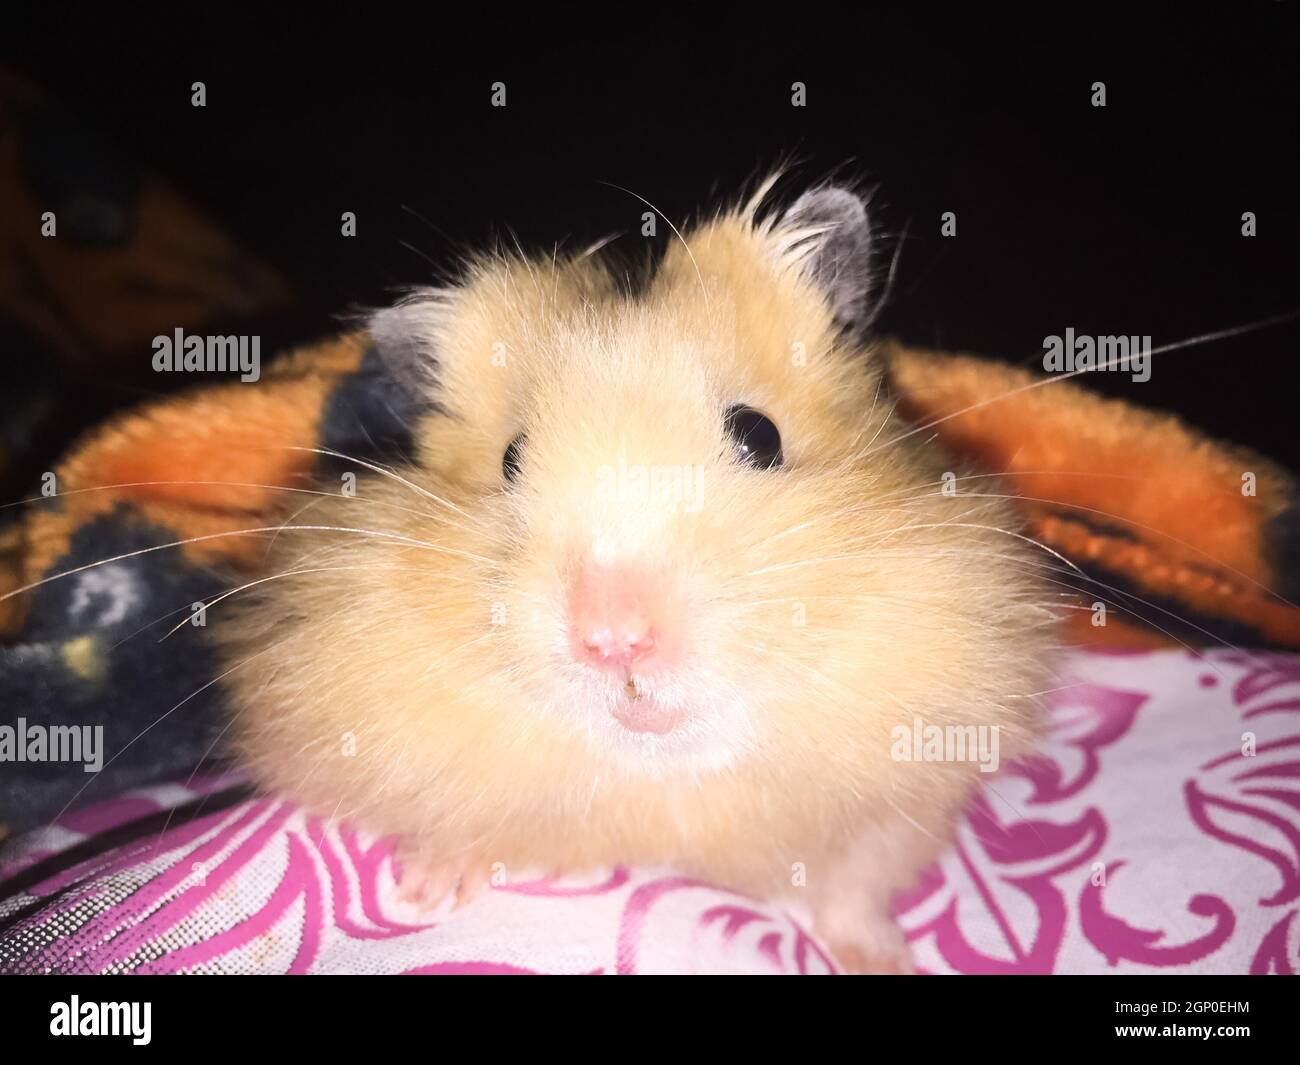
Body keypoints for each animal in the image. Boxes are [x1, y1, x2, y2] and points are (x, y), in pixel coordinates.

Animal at [214, 179, 1058, 973]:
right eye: (511, 460)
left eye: (760, 435)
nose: (614, 639)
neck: (663, 776)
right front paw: (424, 893)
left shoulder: (901, 800)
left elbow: (853, 887)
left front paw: (884, 959)